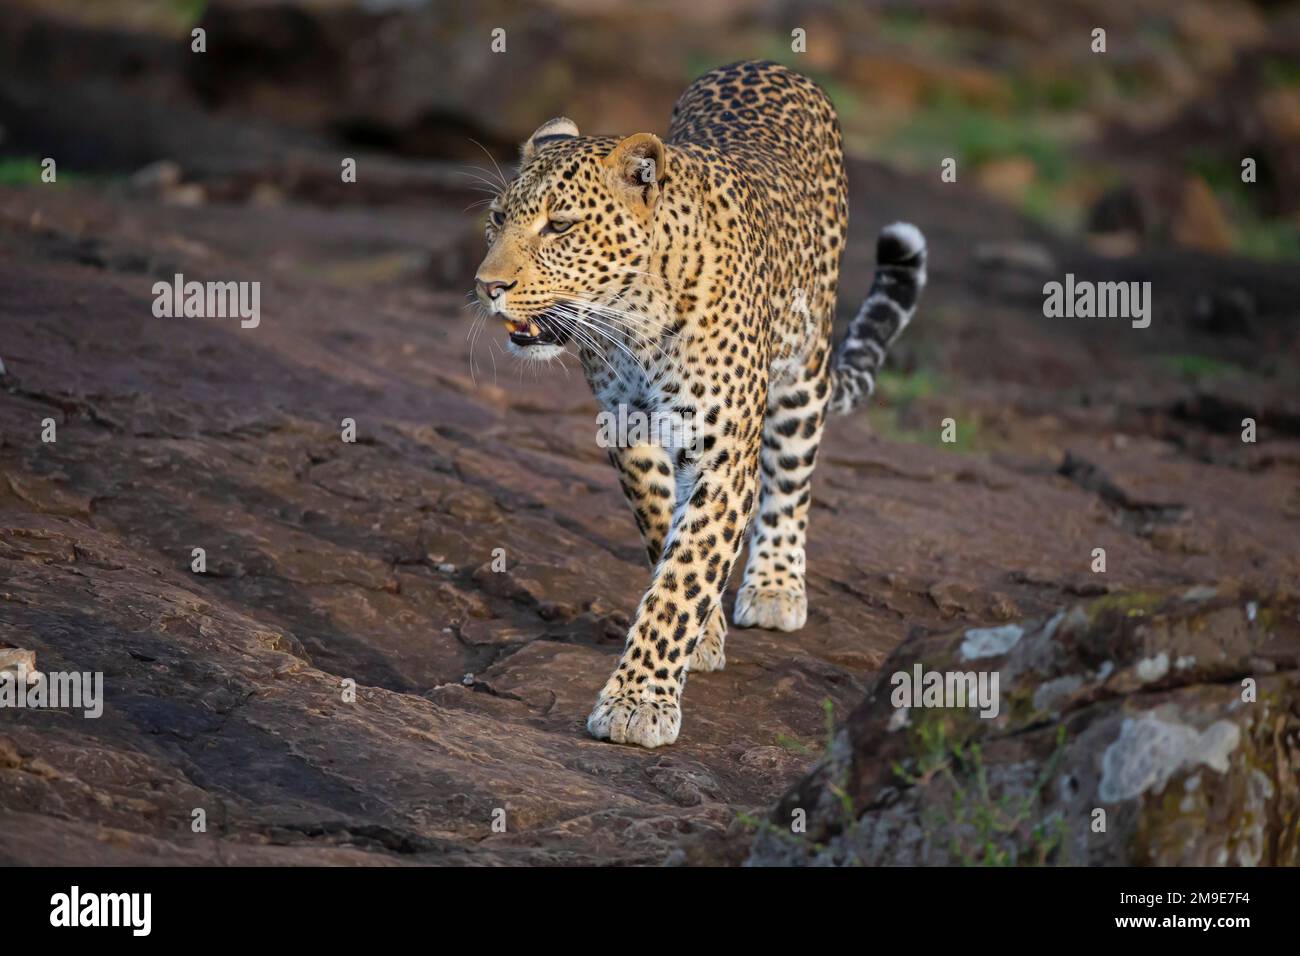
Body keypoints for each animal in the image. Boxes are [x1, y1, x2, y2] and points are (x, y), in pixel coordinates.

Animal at [473, 60, 926, 748]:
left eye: (561, 226)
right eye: (497, 218)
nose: (487, 286)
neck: (632, 321)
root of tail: (767, 63)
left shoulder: (725, 454)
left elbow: (682, 578)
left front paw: (637, 703)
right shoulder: (627, 429)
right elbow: (666, 531)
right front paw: (702, 637)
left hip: (804, 366)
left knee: (792, 475)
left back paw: (775, 586)